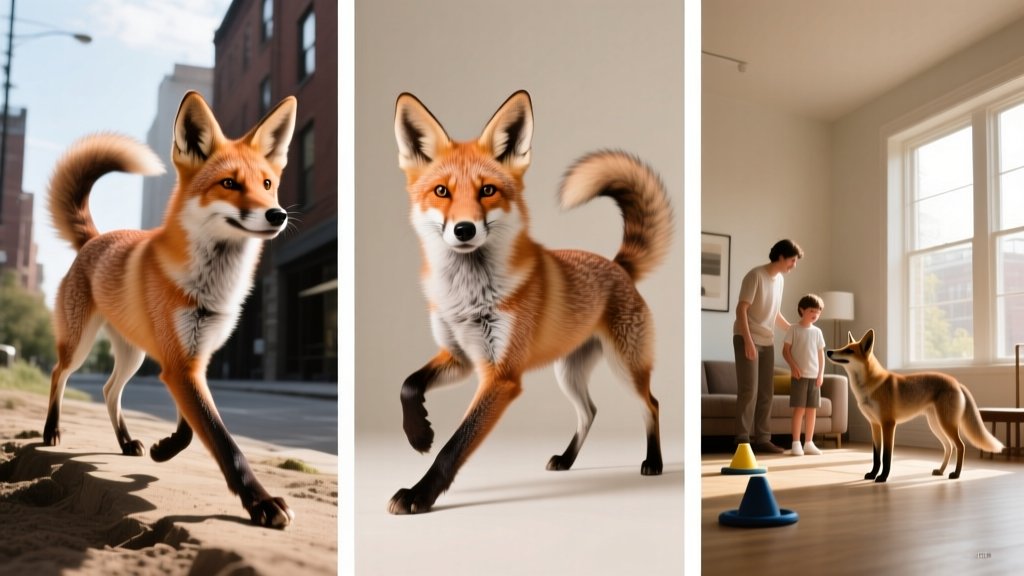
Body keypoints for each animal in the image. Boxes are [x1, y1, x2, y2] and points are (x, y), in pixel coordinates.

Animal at [43, 91, 297, 528]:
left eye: (267, 184)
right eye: (229, 184)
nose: (277, 214)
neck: (210, 287)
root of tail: (94, 239)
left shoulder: (193, 360)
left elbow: (193, 428)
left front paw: (165, 449)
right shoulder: (179, 365)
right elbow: (222, 441)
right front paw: (260, 503)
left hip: (133, 354)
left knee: (109, 390)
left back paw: (126, 441)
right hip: (80, 345)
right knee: (59, 374)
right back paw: (51, 431)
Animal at [388, 90, 673, 515]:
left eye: (488, 190)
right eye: (441, 191)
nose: (464, 229)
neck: (468, 297)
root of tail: (617, 264)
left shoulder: (501, 376)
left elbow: (455, 444)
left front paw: (420, 493)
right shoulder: (461, 358)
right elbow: (408, 385)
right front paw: (418, 433)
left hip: (626, 367)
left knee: (650, 404)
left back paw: (653, 461)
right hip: (568, 373)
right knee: (590, 411)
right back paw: (567, 459)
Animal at [827, 329, 1003, 482]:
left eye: (849, 351)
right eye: (843, 347)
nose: (828, 351)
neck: (870, 388)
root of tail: (956, 382)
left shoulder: (888, 424)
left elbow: (886, 456)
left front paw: (883, 477)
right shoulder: (874, 425)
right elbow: (876, 456)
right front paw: (872, 474)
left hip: (946, 424)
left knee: (960, 446)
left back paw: (956, 474)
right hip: (936, 425)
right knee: (949, 447)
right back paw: (941, 471)